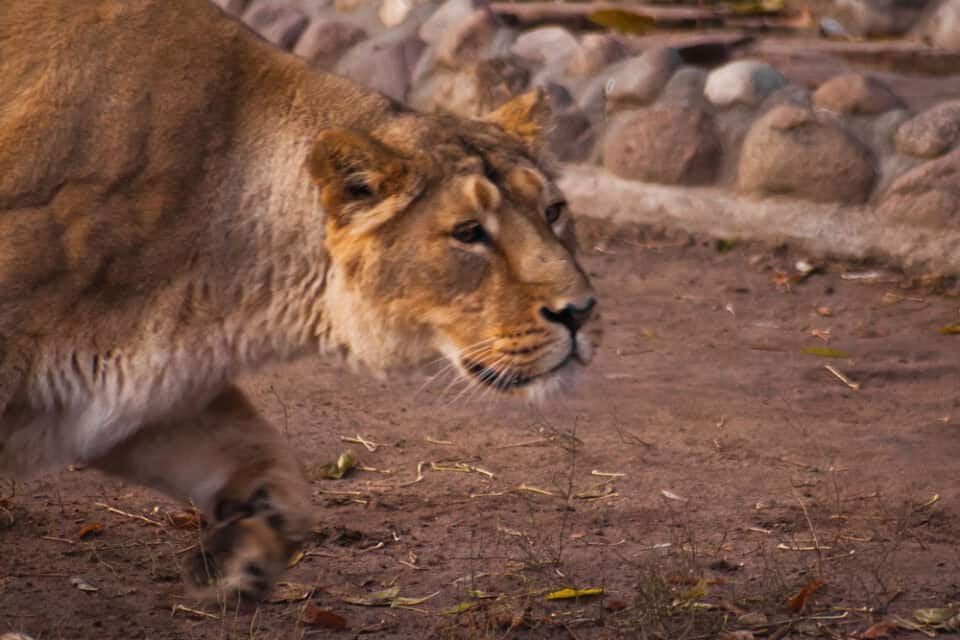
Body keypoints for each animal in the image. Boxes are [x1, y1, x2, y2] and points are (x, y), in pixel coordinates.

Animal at [0, 0, 600, 601]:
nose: (579, 312)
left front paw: (238, 555)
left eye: (553, 212)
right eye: (469, 232)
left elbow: (269, 465)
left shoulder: (135, 390)